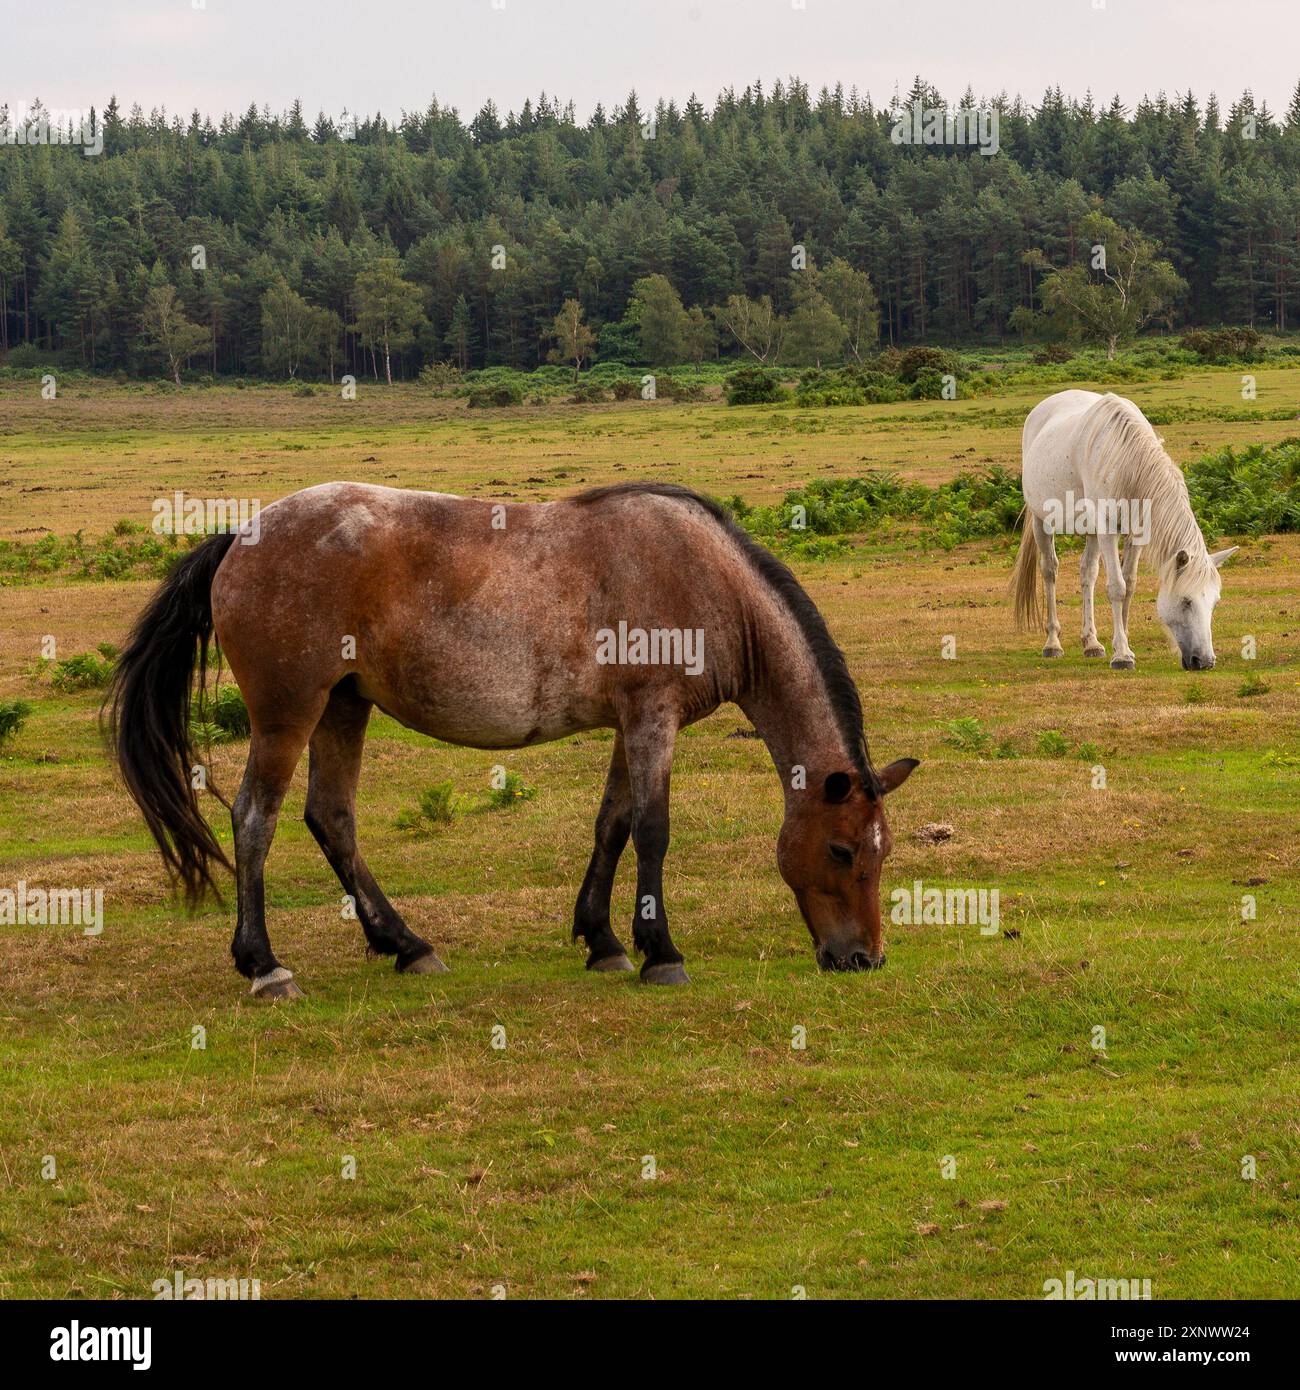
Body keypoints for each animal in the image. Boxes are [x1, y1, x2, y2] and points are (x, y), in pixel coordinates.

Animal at [107, 481, 918, 999]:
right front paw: (660, 952)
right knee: (256, 819)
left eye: (881, 854)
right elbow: (653, 831)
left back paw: (406, 945)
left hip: (343, 706)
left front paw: (603, 942)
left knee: (331, 819)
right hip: (289, 714)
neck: (710, 583)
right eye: (841, 850)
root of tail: (239, 537)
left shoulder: (630, 724)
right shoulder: (651, 717)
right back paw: (265, 966)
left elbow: (613, 825)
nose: (865, 959)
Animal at [1011, 390, 1238, 670]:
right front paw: (1122, 655)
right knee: (1050, 571)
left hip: (1091, 531)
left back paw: (1091, 643)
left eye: (1215, 602)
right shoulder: (1107, 529)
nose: (1204, 661)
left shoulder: (1136, 532)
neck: (1126, 462)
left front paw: (1124, 643)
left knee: (1088, 572)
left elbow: (1129, 584)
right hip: (1042, 522)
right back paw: (1053, 643)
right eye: (1186, 601)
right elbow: (1117, 587)